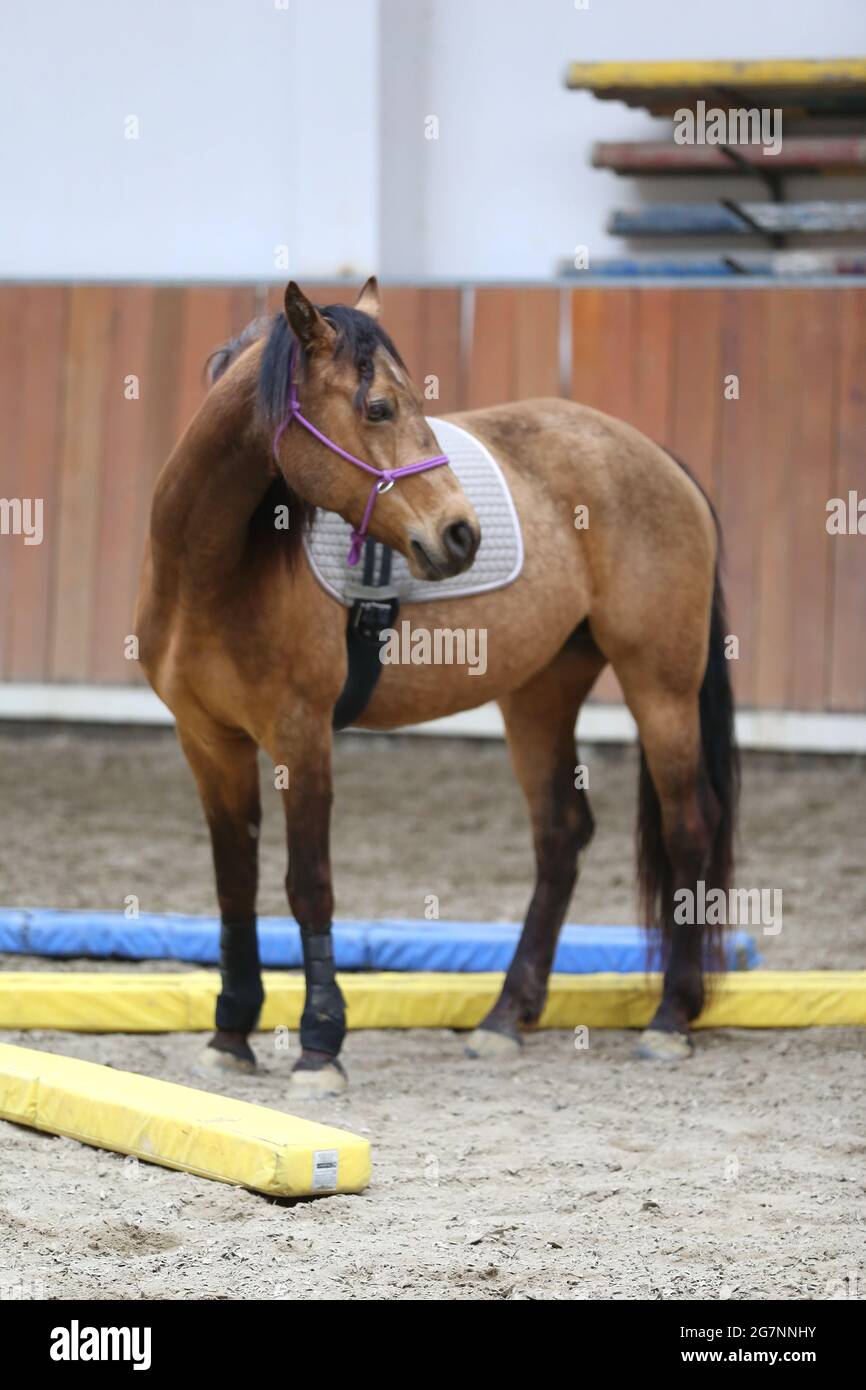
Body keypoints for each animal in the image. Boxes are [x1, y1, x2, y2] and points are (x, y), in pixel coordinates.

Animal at [136, 277, 737, 1096]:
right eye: (377, 408)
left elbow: (308, 882)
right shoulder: (208, 741)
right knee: (561, 835)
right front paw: (230, 1033)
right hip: (540, 694)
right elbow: (235, 882)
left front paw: (320, 1045)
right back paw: (504, 1019)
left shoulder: (300, 734)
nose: (461, 534)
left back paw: (670, 1020)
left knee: (689, 827)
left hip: (661, 687)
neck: (212, 572)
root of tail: (656, 457)